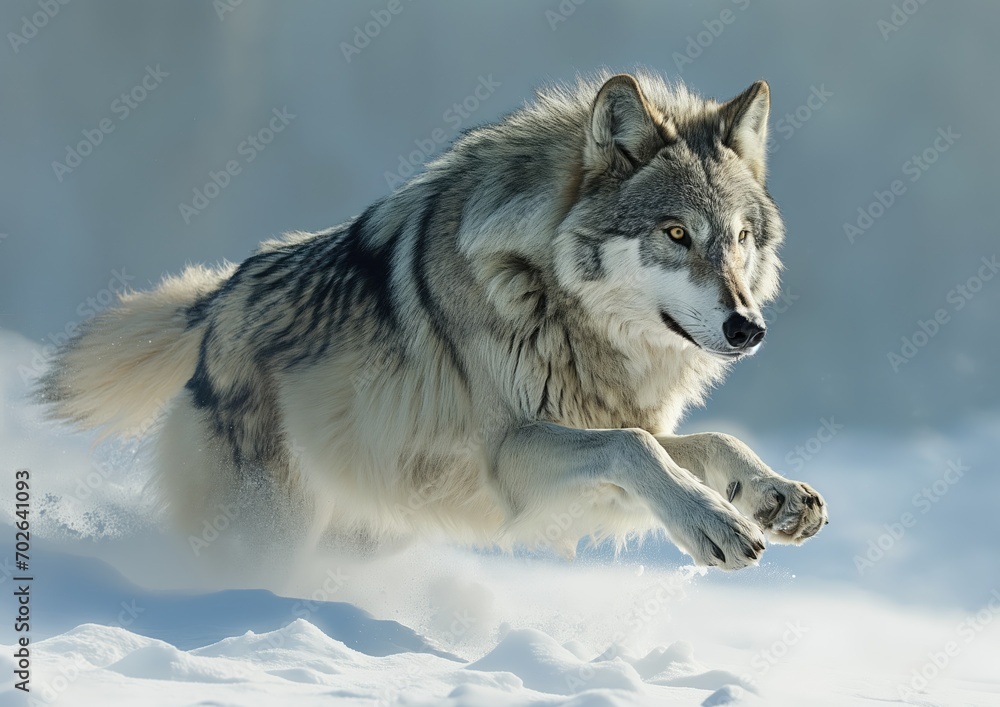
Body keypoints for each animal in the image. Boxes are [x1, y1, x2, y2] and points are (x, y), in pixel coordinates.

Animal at [41, 70, 826, 570]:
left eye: (741, 238)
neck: (544, 289)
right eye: (676, 233)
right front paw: (714, 523)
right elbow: (637, 447)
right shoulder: (512, 456)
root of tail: (219, 299)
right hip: (273, 531)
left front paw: (773, 496)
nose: (747, 327)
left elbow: (704, 440)